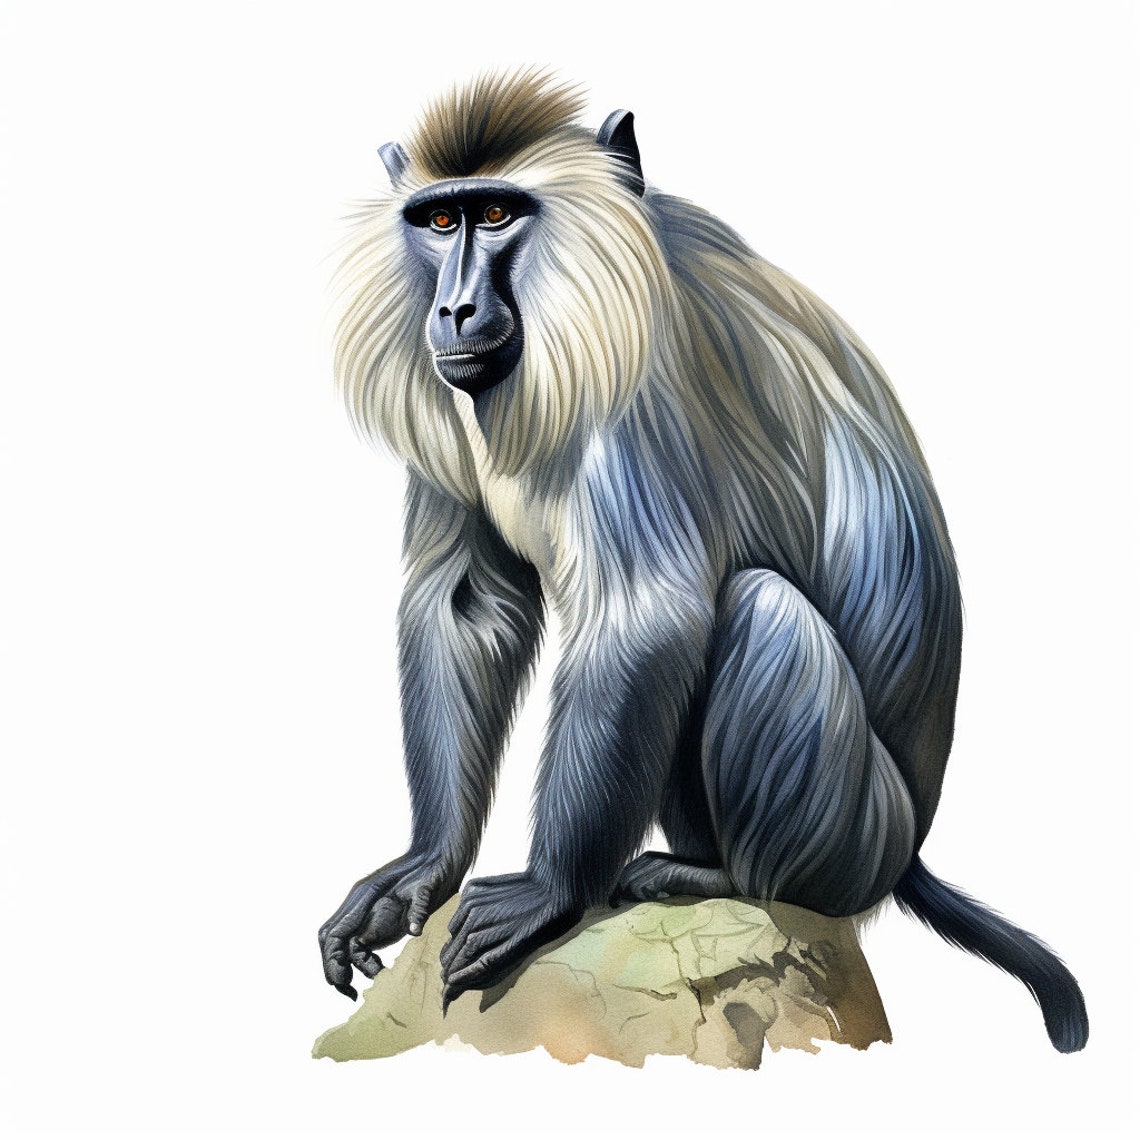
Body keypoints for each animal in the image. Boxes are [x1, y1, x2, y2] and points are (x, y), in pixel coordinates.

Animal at [317, 69, 1088, 1053]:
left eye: (494, 212)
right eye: (439, 221)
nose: (451, 307)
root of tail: (908, 844)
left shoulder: (638, 381)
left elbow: (647, 615)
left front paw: (549, 890)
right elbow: (465, 605)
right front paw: (425, 866)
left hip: (855, 834)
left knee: (762, 610)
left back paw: (725, 880)